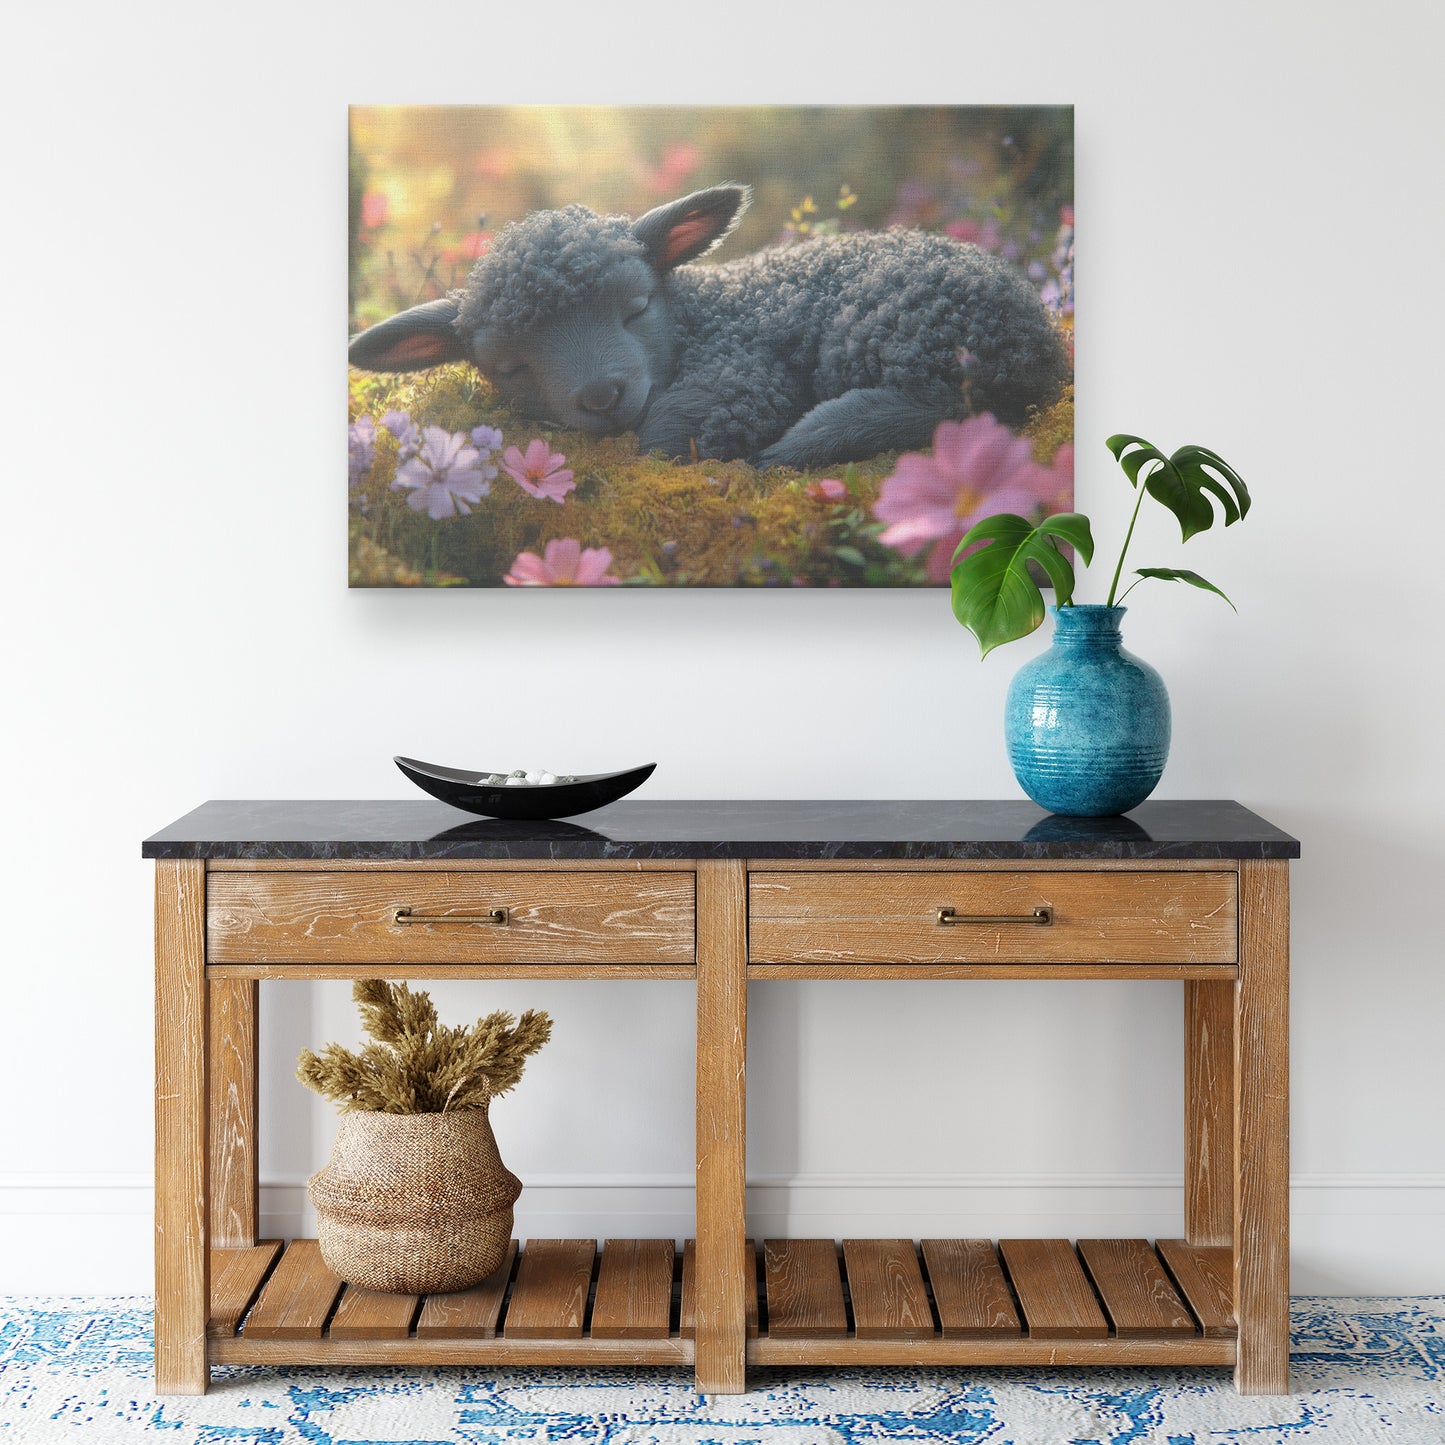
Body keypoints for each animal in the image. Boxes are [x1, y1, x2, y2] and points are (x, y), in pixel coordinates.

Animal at [348, 185, 1070, 469]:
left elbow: (665, 437)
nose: (601, 396)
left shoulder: (743, 375)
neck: (704, 314)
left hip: (892, 335)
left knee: (939, 410)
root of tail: (1035, 345)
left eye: (636, 306)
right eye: (509, 367)